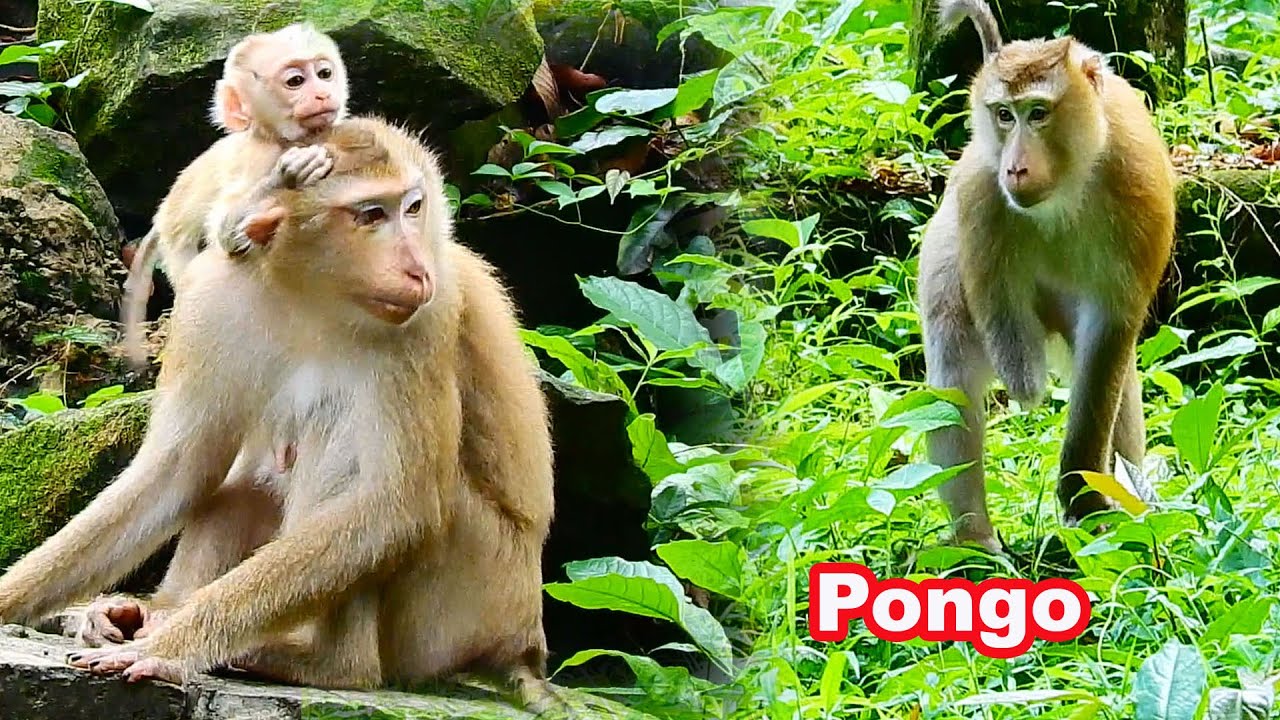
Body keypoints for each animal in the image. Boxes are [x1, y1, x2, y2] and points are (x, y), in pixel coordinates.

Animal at [0, 116, 559, 710]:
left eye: (412, 207)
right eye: (371, 215)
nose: (415, 269)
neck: (309, 293)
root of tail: (525, 642)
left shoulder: (428, 318)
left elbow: (395, 507)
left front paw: (173, 645)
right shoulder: (210, 300)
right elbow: (176, 474)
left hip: (461, 603)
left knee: (334, 442)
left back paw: (326, 663)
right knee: (248, 478)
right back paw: (150, 609)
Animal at [121, 22, 349, 368]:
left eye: (324, 73)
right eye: (295, 81)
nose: (322, 93)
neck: (278, 138)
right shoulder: (256, 158)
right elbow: (228, 234)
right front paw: (287, 177)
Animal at [917, 0, 1175, 552]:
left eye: (1038, 113)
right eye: (1004, 114)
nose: (1015, 168)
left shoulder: (1139, 186)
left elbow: (1109, 337)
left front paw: (1084, 495)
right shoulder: (980, 193)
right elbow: (1002, 341)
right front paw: (1026, 383)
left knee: (1118, 381)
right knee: (953, 368)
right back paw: (976, 544)